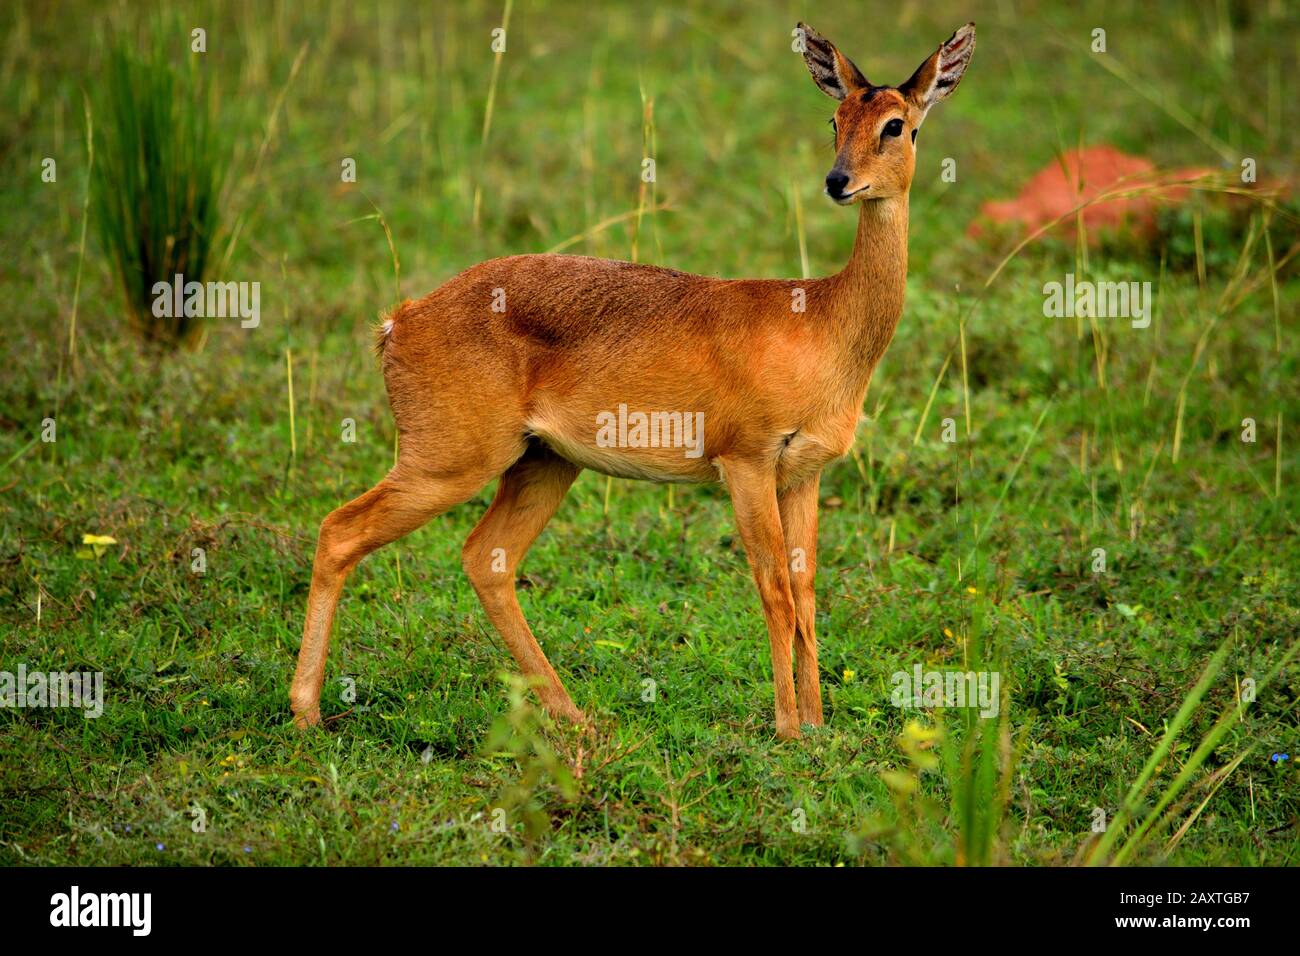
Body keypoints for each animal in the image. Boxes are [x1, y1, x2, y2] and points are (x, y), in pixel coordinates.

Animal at [291, 22, 976, 739]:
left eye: (897, 124)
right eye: (835, 119)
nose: (839, 181)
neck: (823, 319)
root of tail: (399, 320)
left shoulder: (803, 474)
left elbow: (807, 593)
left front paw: (815, 728)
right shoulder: (746, 463)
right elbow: (774, 593)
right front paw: (788, 730)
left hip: (542, 464)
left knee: (484, 558)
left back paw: (576, 718)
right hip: (447, 462)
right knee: (338, 531)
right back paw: (307, 713)